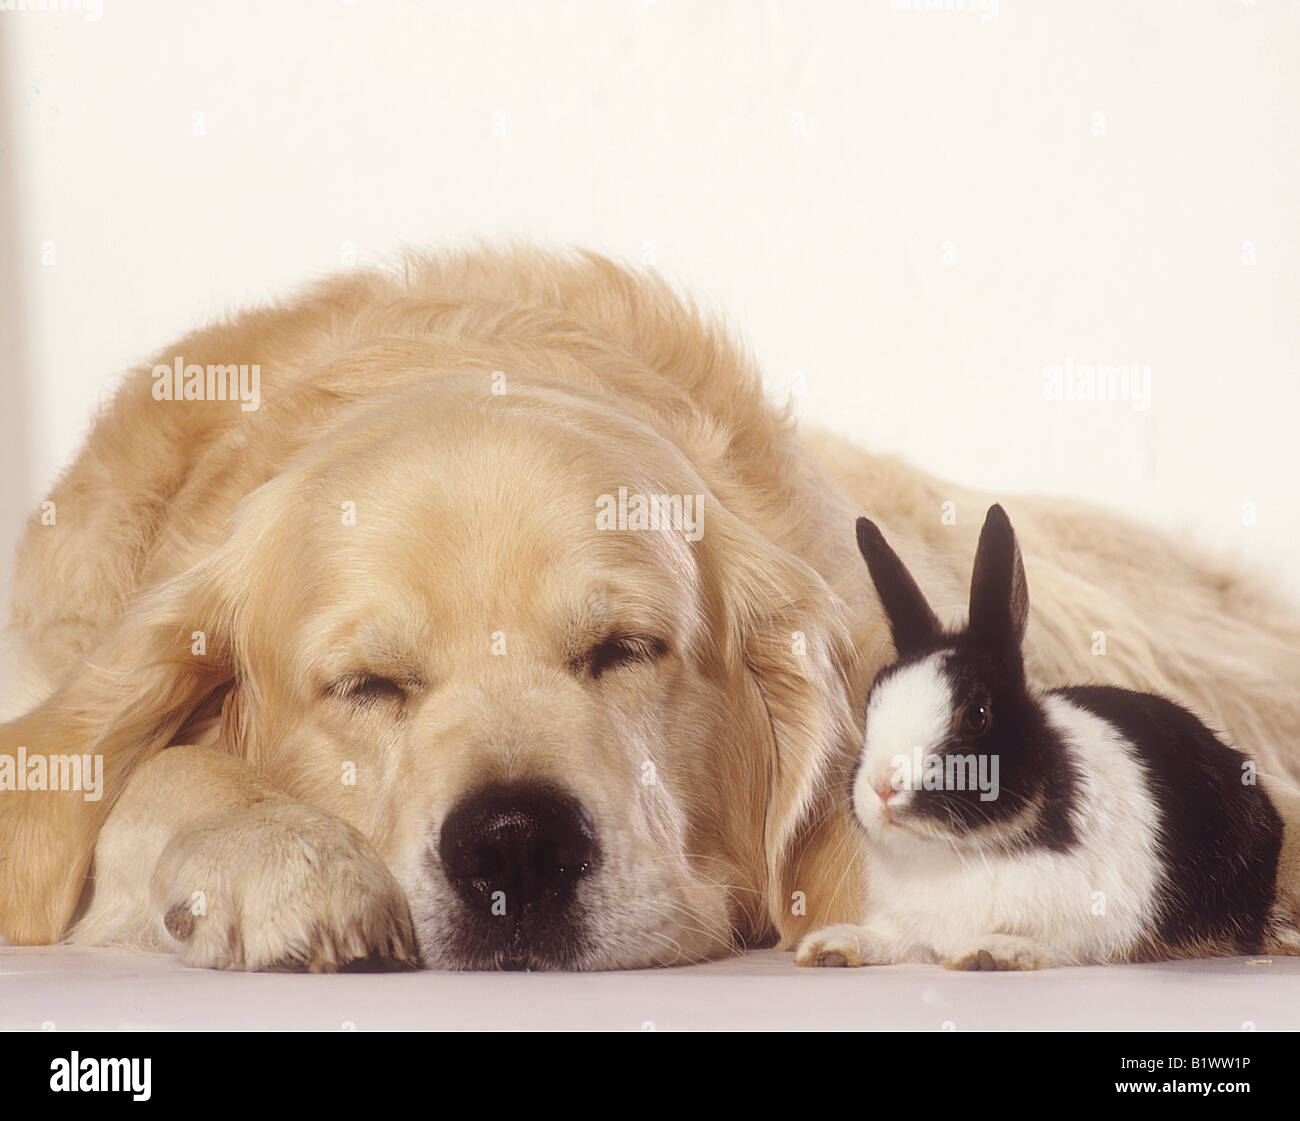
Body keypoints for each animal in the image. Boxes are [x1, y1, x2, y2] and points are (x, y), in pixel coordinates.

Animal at [796, 503, 1300, 970]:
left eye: (976, 715)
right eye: (872, 701)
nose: (883, 787)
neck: (954, 851)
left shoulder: (1088, 924)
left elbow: (1051, 944)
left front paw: (991, 952)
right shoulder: (904, 925)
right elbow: (891, 941)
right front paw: (831, 947)